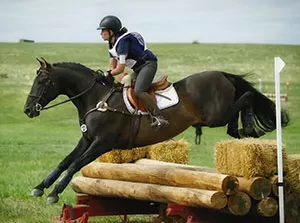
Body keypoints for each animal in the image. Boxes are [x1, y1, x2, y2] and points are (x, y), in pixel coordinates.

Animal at [22, 57, 288, 204]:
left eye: (43, 81)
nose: (28, 110)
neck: (96, 99)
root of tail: (222, 74)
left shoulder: (103, 142)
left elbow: (75, 164)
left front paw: (54, 193)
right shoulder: (87, 139)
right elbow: (65, 161)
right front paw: (40, 187)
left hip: (215, 115)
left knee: (247, 97)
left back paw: (249, 127)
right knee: (242, 104)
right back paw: (241, 130)